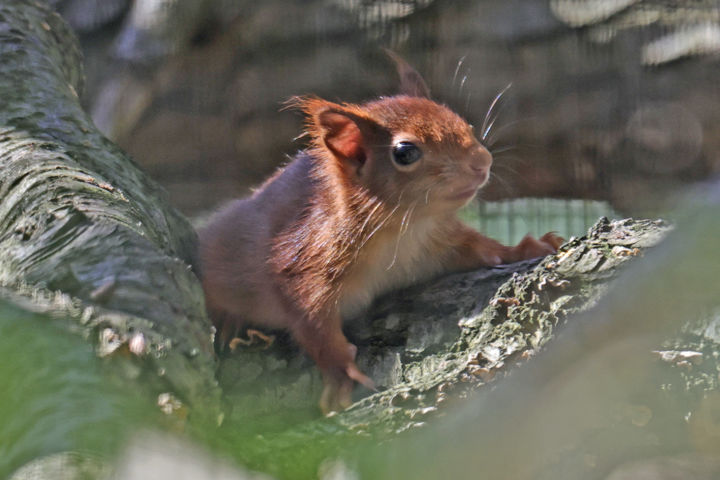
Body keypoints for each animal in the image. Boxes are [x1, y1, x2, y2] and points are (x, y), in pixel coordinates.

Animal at [198, 52, 563, 414]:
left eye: (465, 123)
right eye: (405, 153)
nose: (482, 161)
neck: (405, 228)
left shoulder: (441, 243)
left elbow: (484, 248)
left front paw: (528, 247)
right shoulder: (305, 258)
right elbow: (310, 319)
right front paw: (339, 370)